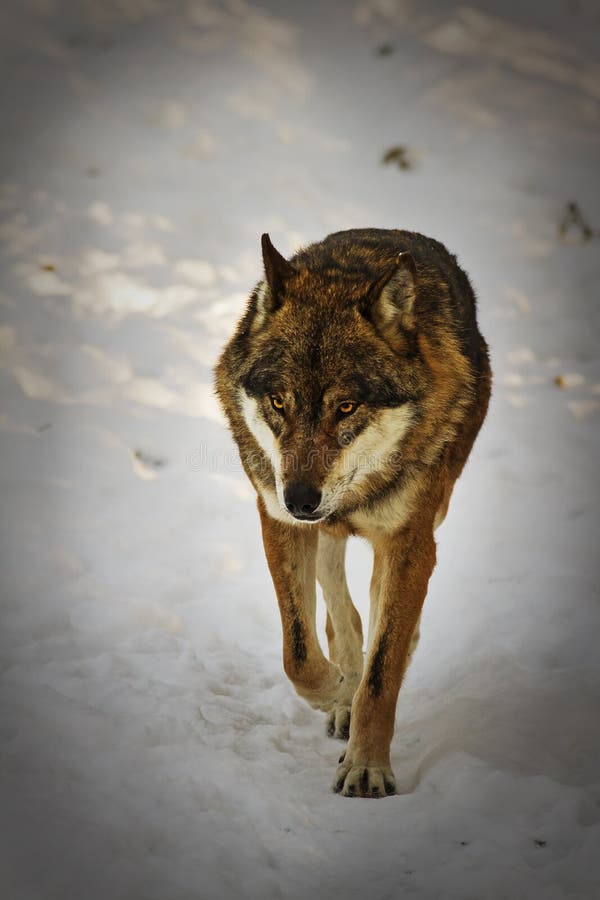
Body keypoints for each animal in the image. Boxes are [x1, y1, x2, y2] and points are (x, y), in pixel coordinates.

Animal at [215, 228, 491, 798]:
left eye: (346, 407)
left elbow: (382, 676)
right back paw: (344, 689)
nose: (300, 498)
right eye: (279, 402)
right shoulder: (277, 521)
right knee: (340, 608)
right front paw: (333, 691)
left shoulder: (411, 542)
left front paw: (367, 767)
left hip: (424, 522)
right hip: (321, 531)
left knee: (380, 607)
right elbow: (297, 652)